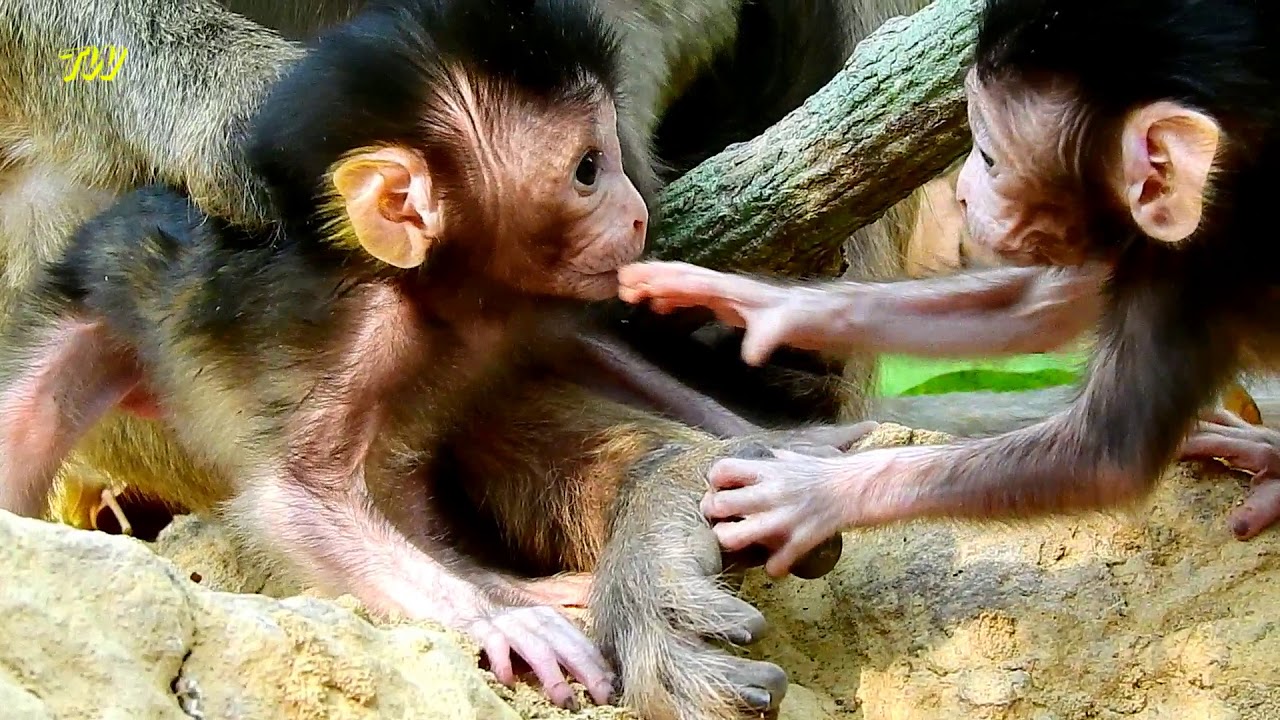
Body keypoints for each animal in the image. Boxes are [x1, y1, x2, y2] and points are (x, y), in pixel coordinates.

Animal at [614, 0, 1280, 574]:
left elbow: (1105, 458)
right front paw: (760, 303)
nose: (961, 196)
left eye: (987, 158)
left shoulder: (1194, 274)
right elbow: (1034, 305)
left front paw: (810, 493)